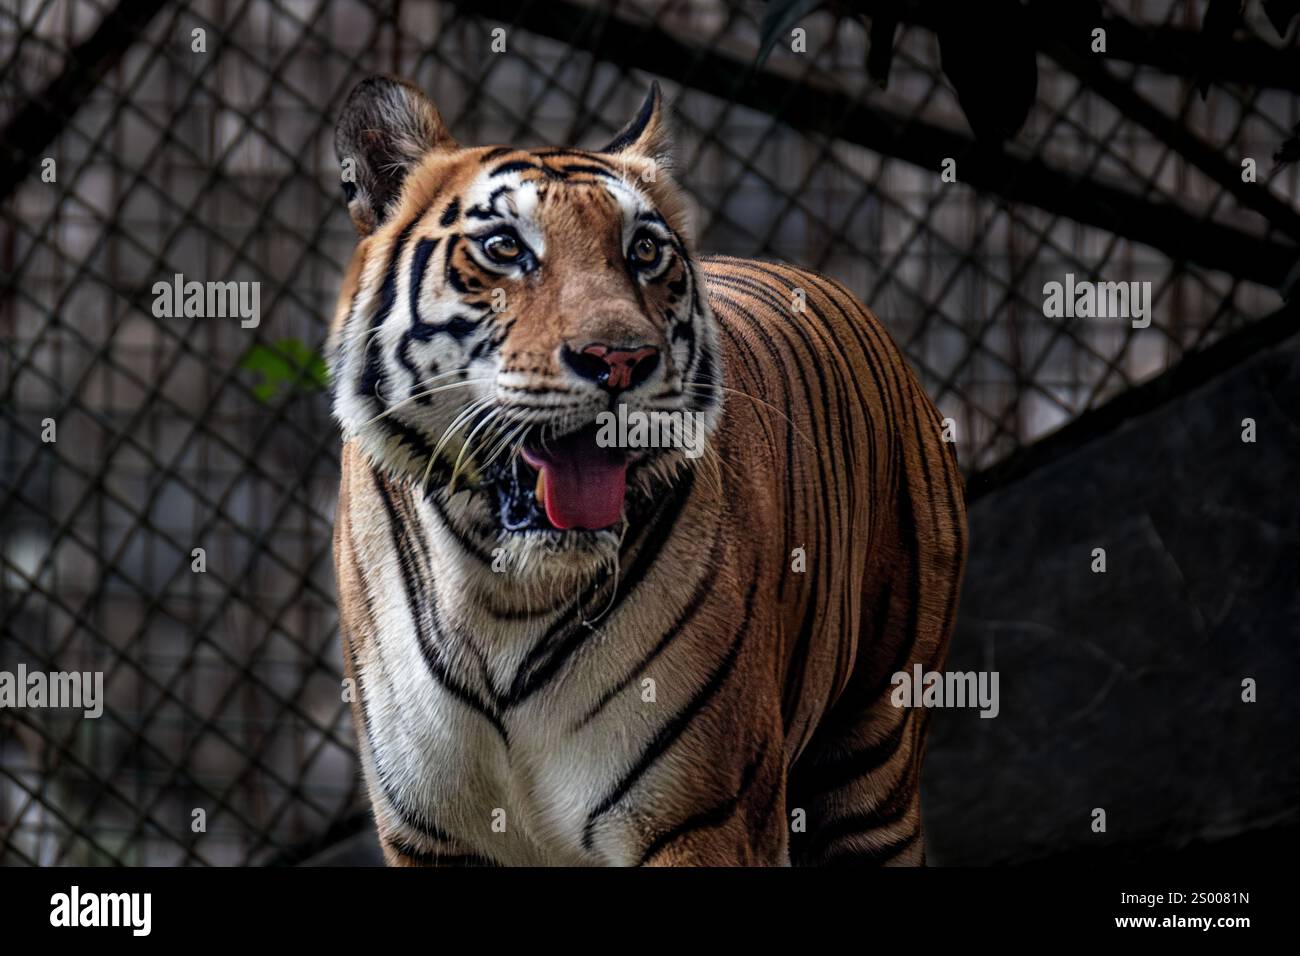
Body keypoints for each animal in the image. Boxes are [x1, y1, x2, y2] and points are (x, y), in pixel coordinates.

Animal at [328, 75, 967, 867]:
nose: (621, 360)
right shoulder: (429, 833)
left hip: (875, 758)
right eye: (505, 248)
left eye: (642, 251)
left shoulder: (698, 817)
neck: (500, 591)